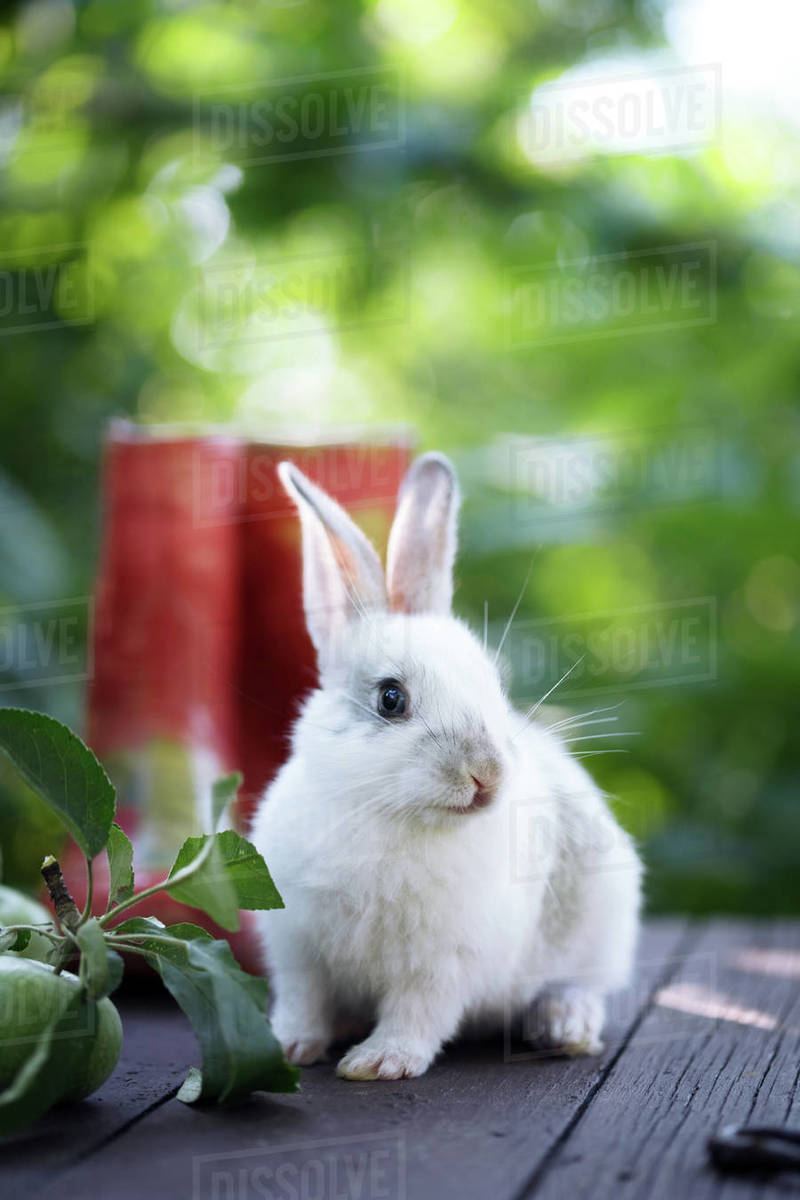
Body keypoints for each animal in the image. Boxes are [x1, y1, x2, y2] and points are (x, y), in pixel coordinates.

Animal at [250, 451, 642, 1081]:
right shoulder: (298, 950)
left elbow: (419, 1013)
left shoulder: (442, 964)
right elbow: (303, 1002)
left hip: (600, 930)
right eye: (390, 698)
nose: (488, 774)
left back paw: (565, 1025)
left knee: (583, 987)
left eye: (494, 686)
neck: (387, 816)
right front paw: (287, 1046)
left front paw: (380, 1062)